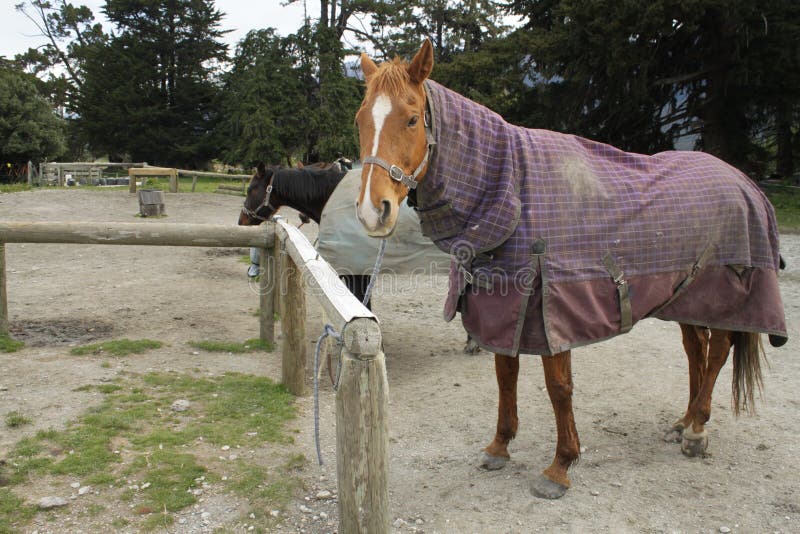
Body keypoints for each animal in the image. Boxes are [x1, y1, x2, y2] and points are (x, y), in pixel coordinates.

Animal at [353, 39, 788, 499]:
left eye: (411, 118)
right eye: (361, 120)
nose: (372, 211)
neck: (512, 191)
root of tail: (744, 181)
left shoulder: (552, 311)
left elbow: (559, 388)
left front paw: (561, 465)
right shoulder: (504, 308)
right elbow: (505, 374)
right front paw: (500, 446)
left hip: (726, 295)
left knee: (718, 350)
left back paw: (697, 430)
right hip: (687, 295)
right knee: (695, 348)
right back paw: (683, 421)